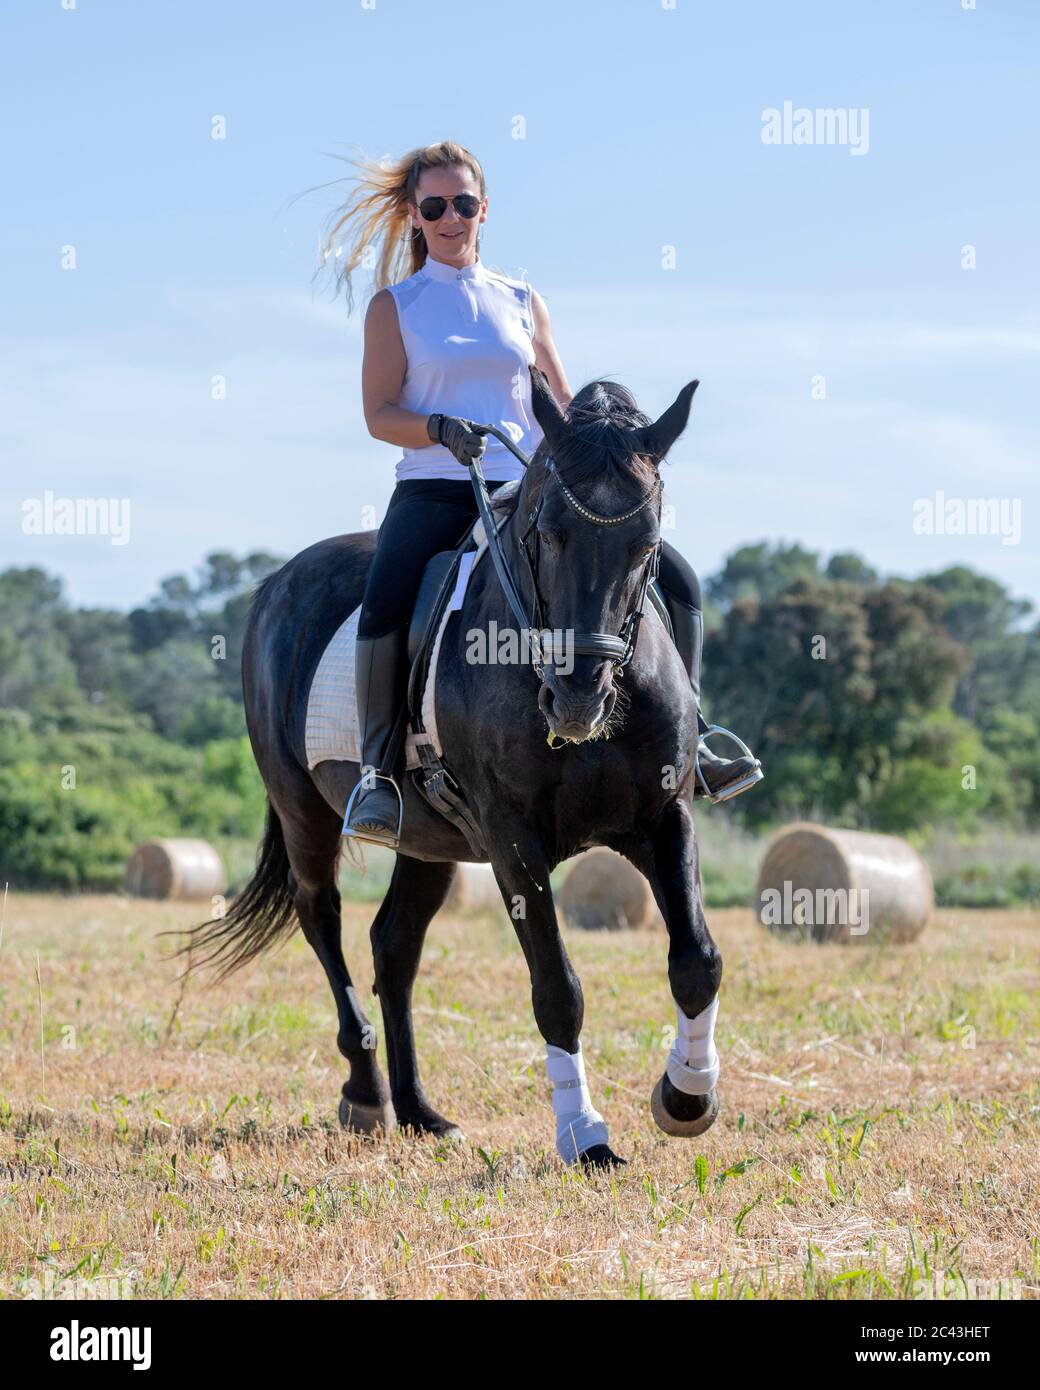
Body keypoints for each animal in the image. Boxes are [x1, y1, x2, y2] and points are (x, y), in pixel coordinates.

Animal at [186, 366, 723, 1168]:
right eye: (546, 533)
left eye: (647, 545)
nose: (578, 698)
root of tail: (278, 583)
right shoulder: (510, 837)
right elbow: (557, 987)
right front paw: (585, 1136)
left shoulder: (664, 814)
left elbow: (697, 961)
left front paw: (686, 1097)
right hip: (303, 811)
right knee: (323, 918)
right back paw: (368, 1093)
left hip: (430, 839)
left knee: (393, 945)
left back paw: (419, 1110)